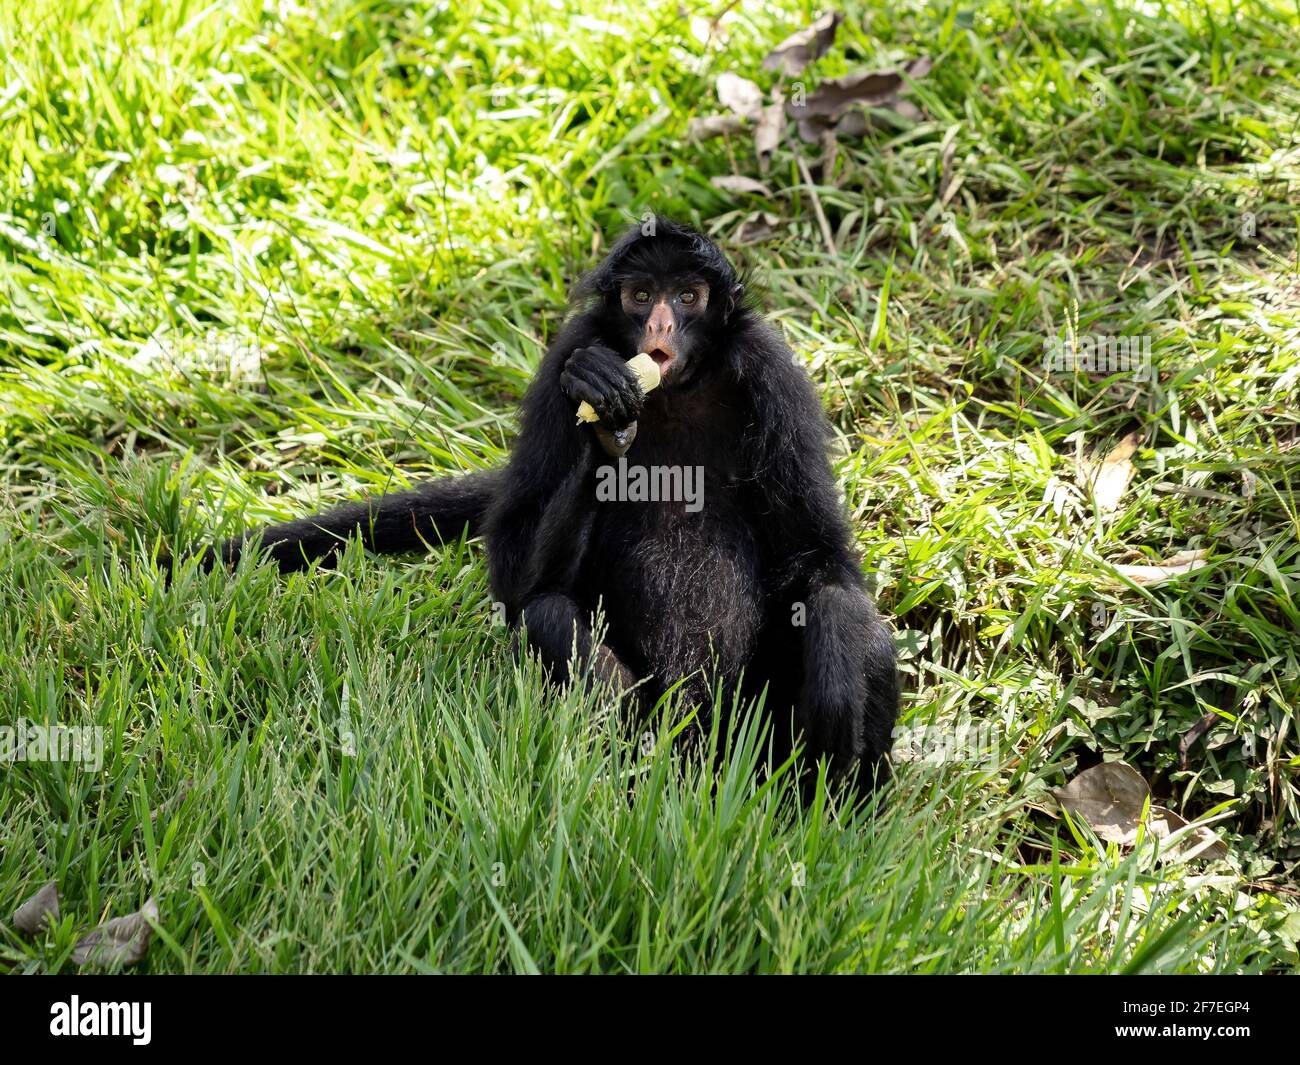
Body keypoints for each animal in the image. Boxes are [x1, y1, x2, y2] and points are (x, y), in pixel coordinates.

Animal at [197, 217, 899, 792]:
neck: (673, 392)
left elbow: (823, 561)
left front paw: (834, 699)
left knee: (842, 608)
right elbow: (515, 575)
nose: (659, 326)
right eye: (640, 296)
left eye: (687, 297)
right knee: (550, 614)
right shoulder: (567, 353)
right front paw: (604, 424)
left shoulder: (770, 370)